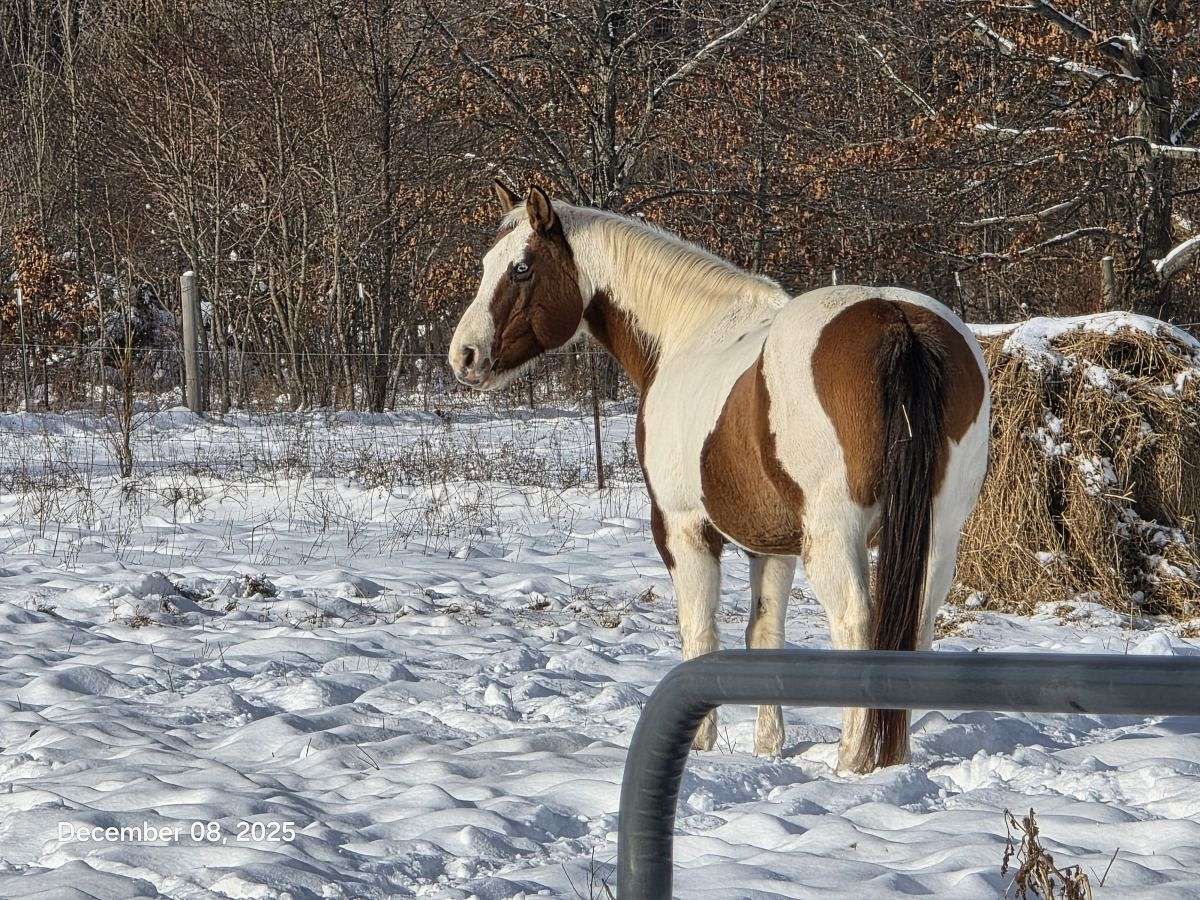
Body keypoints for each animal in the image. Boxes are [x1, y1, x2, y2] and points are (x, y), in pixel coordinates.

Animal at [448, 182, 989, 773]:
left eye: (521, 268)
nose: (464, 356)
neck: (688, 335)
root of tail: (897, 320)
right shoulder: (771, 544)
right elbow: (765, 635)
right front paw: (768, 747)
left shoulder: (684, 530)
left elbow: (700, 631)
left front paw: (701, 744)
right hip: (936, 534)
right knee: (916, 625)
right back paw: (895, 756)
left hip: (835, 537)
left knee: (856, 623)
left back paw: (853, 761)